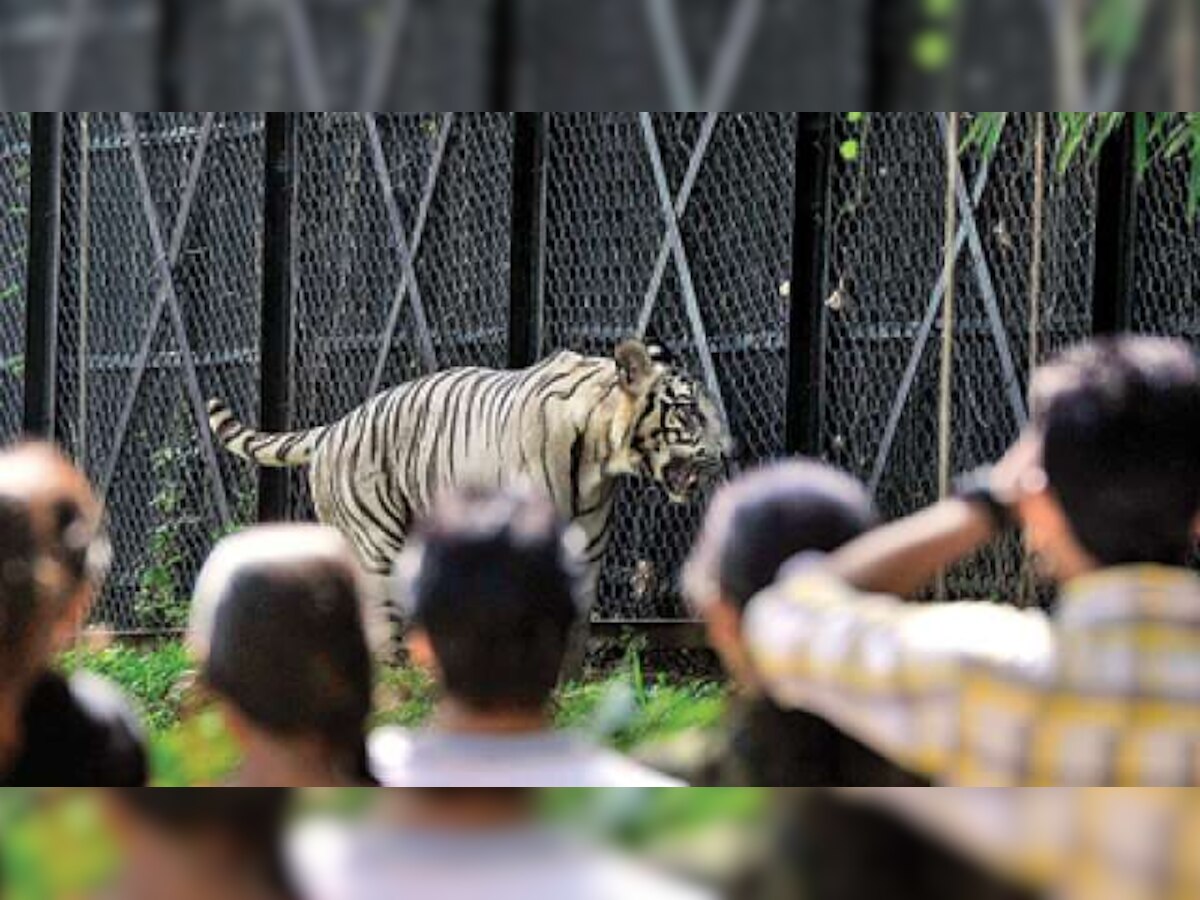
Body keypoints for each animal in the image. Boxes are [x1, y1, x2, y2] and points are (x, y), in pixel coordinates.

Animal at [206, 339, 732, 607]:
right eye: (689, 411)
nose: (731, 450)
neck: (600, 461)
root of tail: (336, 425)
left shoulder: (585, 549)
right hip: (376, 542)